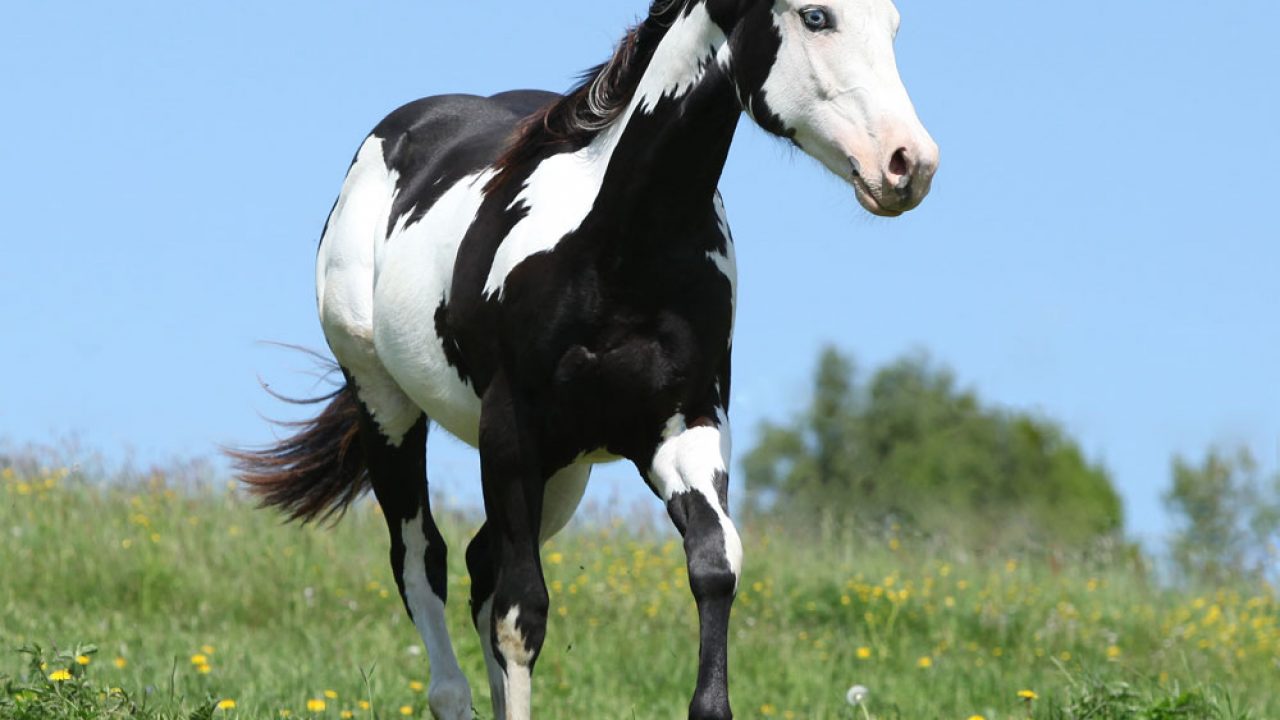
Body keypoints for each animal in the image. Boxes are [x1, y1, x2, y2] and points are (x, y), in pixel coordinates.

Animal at [233, 1, 937, 718]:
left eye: (894, 25)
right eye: (816, 17)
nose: (910, 164)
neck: (619, 250)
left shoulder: (686, 426)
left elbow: (714, 565)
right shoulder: (510, 430)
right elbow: (521, 614)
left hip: (563, 470)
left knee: (481, 564)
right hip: (389, 407)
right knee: (421, 560)